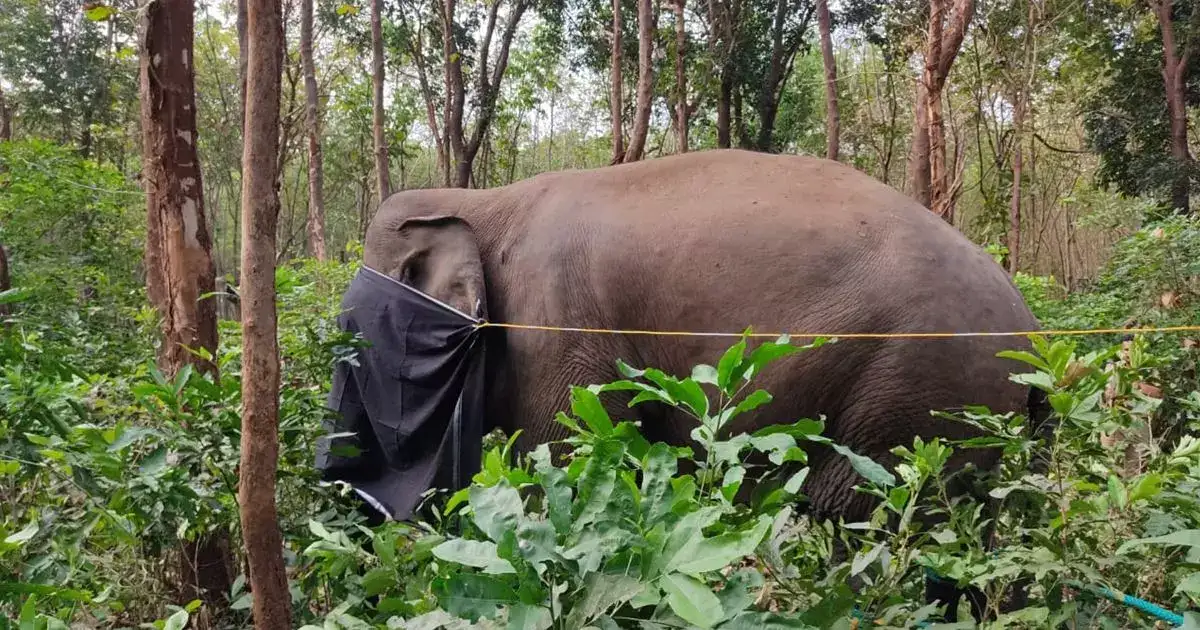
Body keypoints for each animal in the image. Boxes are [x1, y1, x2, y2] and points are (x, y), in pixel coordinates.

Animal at [355, 148, 1049, 621]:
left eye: (352, 338)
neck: (483, 200)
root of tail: (1035, 332)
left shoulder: (554, 333)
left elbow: (563, 471)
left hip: (921, 405)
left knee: (871, 538)